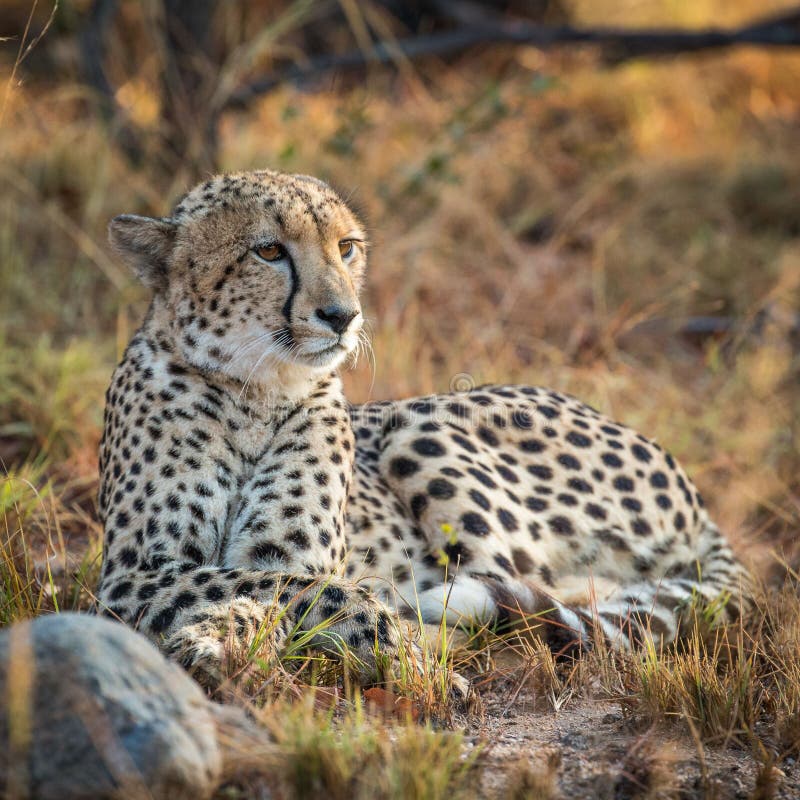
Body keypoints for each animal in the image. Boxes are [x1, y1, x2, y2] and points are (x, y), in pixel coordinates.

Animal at [96, 168, 752, 693]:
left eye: (346, 247)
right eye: (268, 251)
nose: (343, 315)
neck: (256, 390)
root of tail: (694, 497)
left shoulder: (288, 557)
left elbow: (294, 587)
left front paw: (400, 654)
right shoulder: (134, 574)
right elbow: (265, 587)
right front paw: (214, 644)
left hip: (422, 426)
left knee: (554, 595)